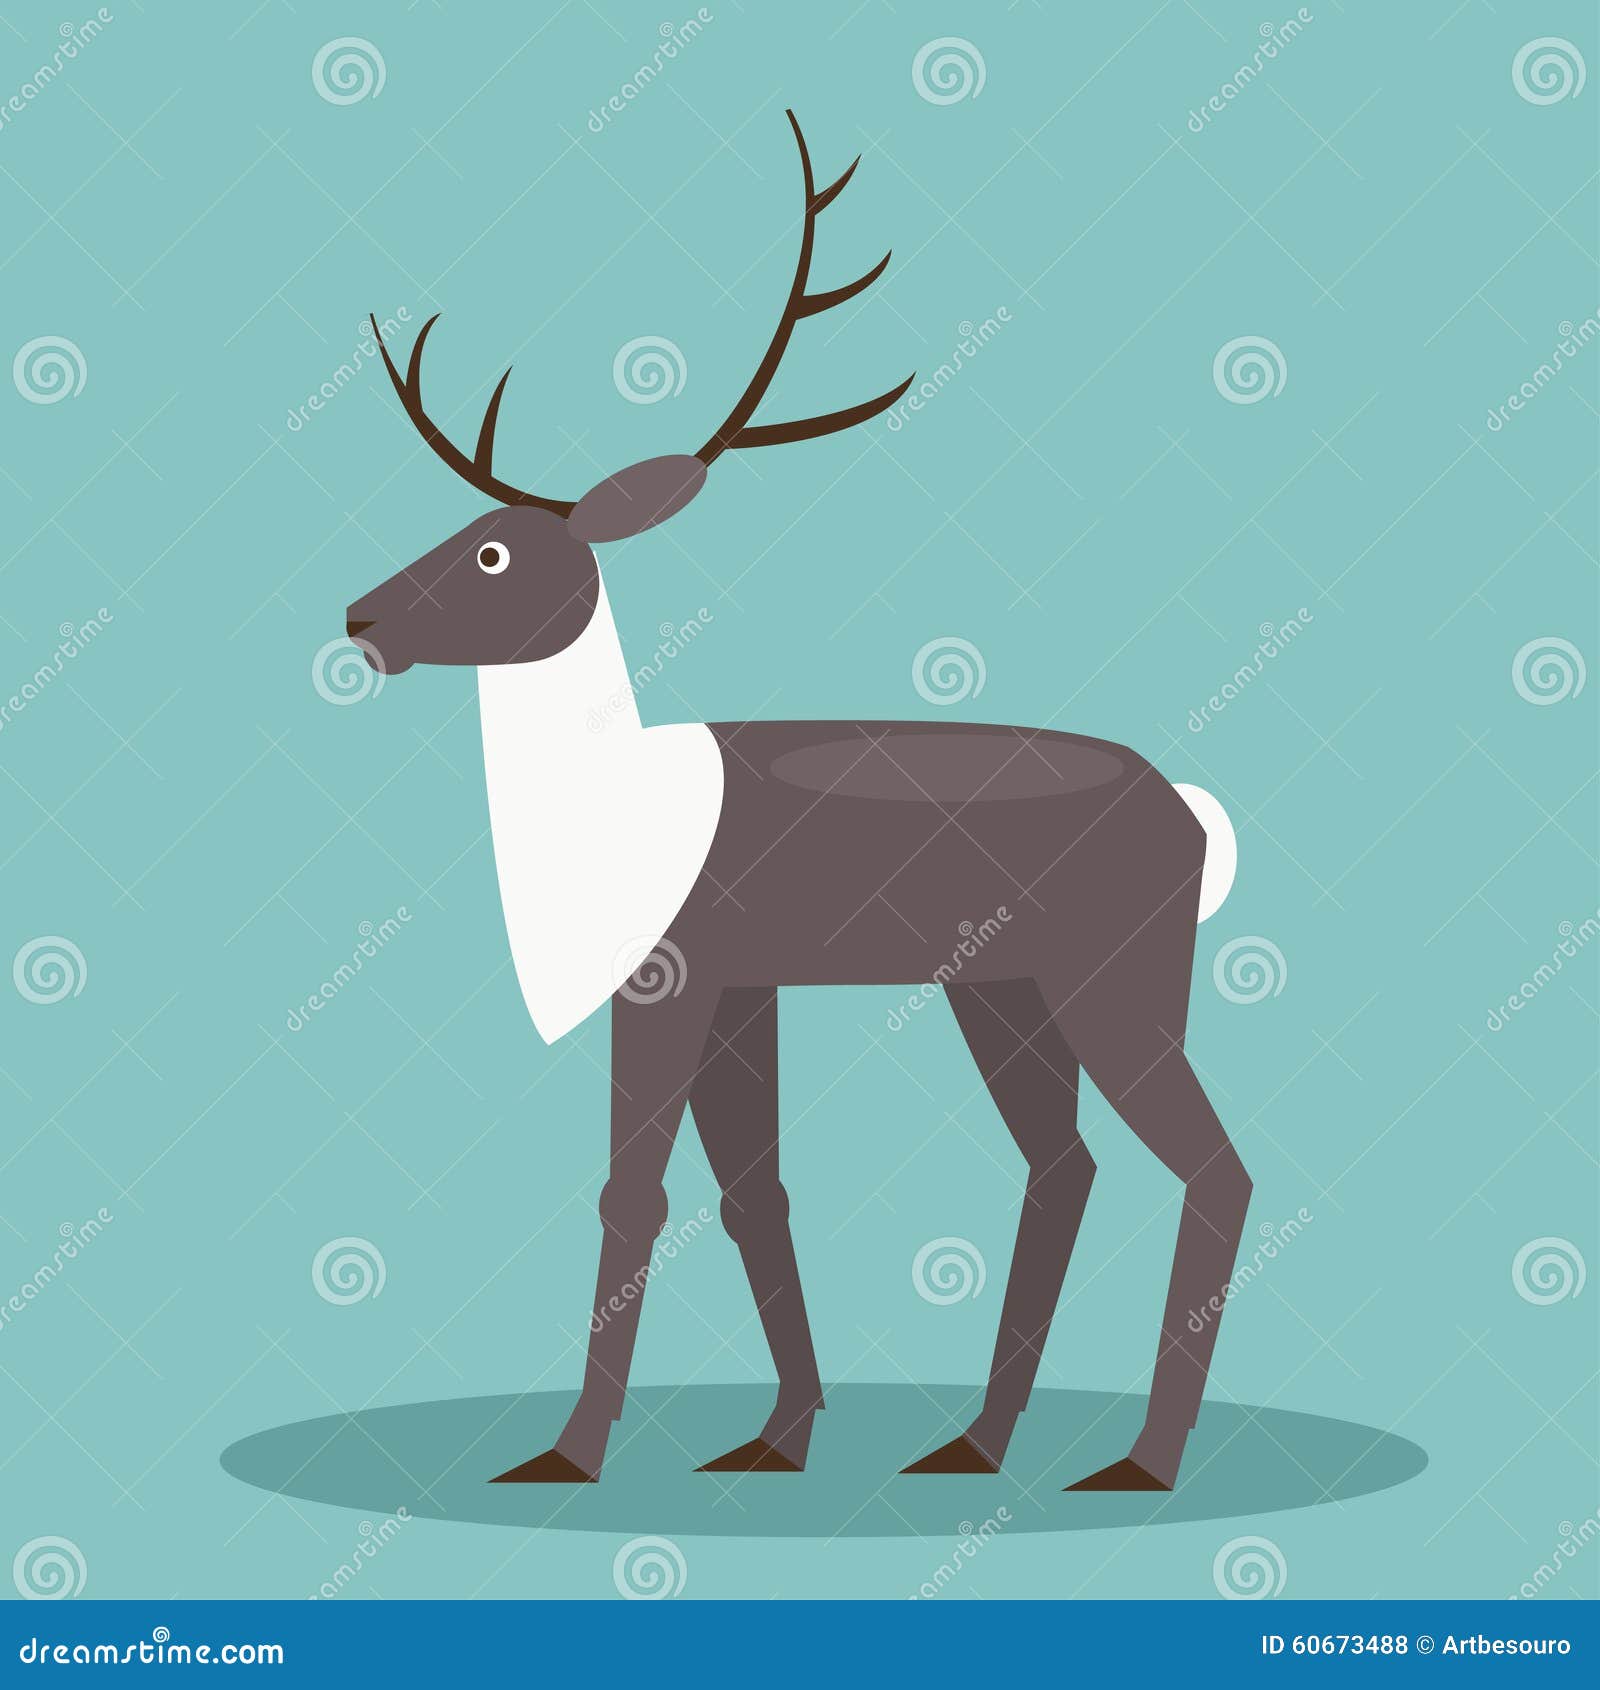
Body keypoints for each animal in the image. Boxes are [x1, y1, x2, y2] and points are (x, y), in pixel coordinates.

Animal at [344, 112, 1252, 1494]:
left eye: (494, 550)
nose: (360, 619)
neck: (601, 806)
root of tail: (1195, 813)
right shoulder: (745, 985)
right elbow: (753, 1193)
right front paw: (778, 1435)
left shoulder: (663, 977)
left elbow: (635, 1195)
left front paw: (569, 1454)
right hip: (1003, 990)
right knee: (1064, 1162)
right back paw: (973, 1443)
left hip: (1115, 979)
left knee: (1213, 1166)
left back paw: (1142, 1460)